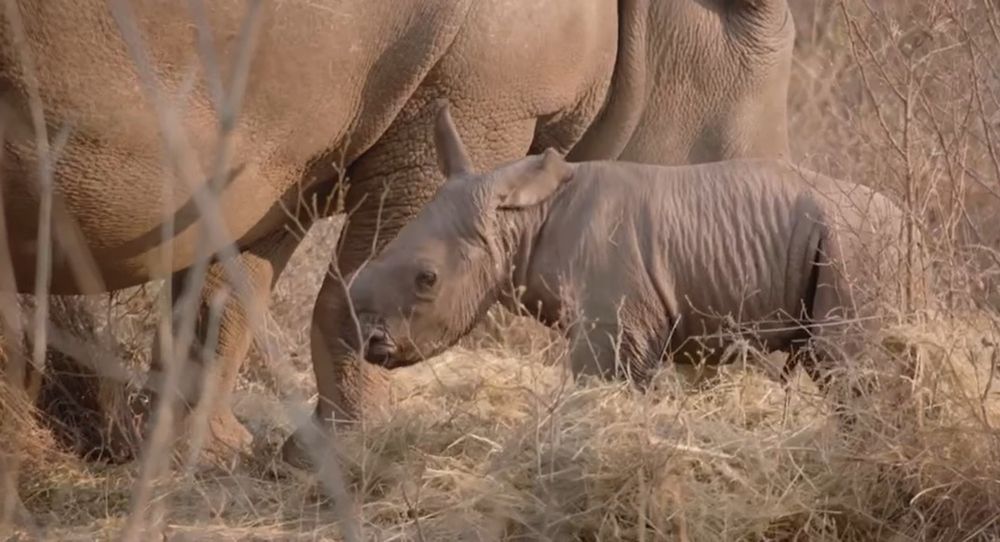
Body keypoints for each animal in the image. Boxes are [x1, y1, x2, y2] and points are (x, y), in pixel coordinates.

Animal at [0, 0, 796, 464]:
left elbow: (225, 293)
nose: (758, 353)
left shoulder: (268, 155)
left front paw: (208, 458)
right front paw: (366, 452)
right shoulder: (473, 100)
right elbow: (365, 275)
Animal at [347, 103, 929, 407]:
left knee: (843, 364)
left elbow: (601, 382)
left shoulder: (615, 325)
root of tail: (910, 223)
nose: (370, 343)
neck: (522, 218)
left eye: (426, 279)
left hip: (854, 240)